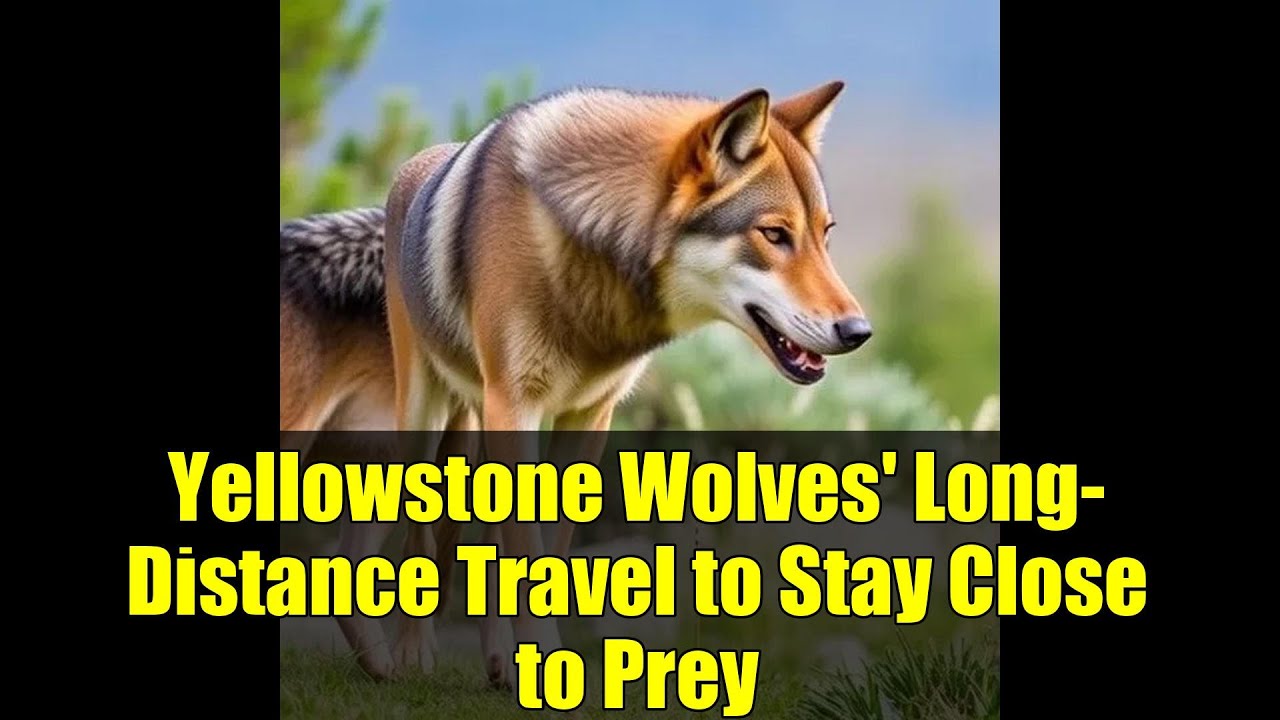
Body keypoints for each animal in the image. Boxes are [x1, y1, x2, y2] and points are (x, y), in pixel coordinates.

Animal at [279, 81, 872, 691]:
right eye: (775, 235)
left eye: (824, 235)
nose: (858, 331)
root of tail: (410, 173)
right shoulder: (516, 406)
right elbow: (520, 550)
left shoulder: (589, 416)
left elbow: (546, 553)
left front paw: (537, 665)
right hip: (418, 420)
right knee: (402, 542)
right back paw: (410, 658)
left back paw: (450, 661)